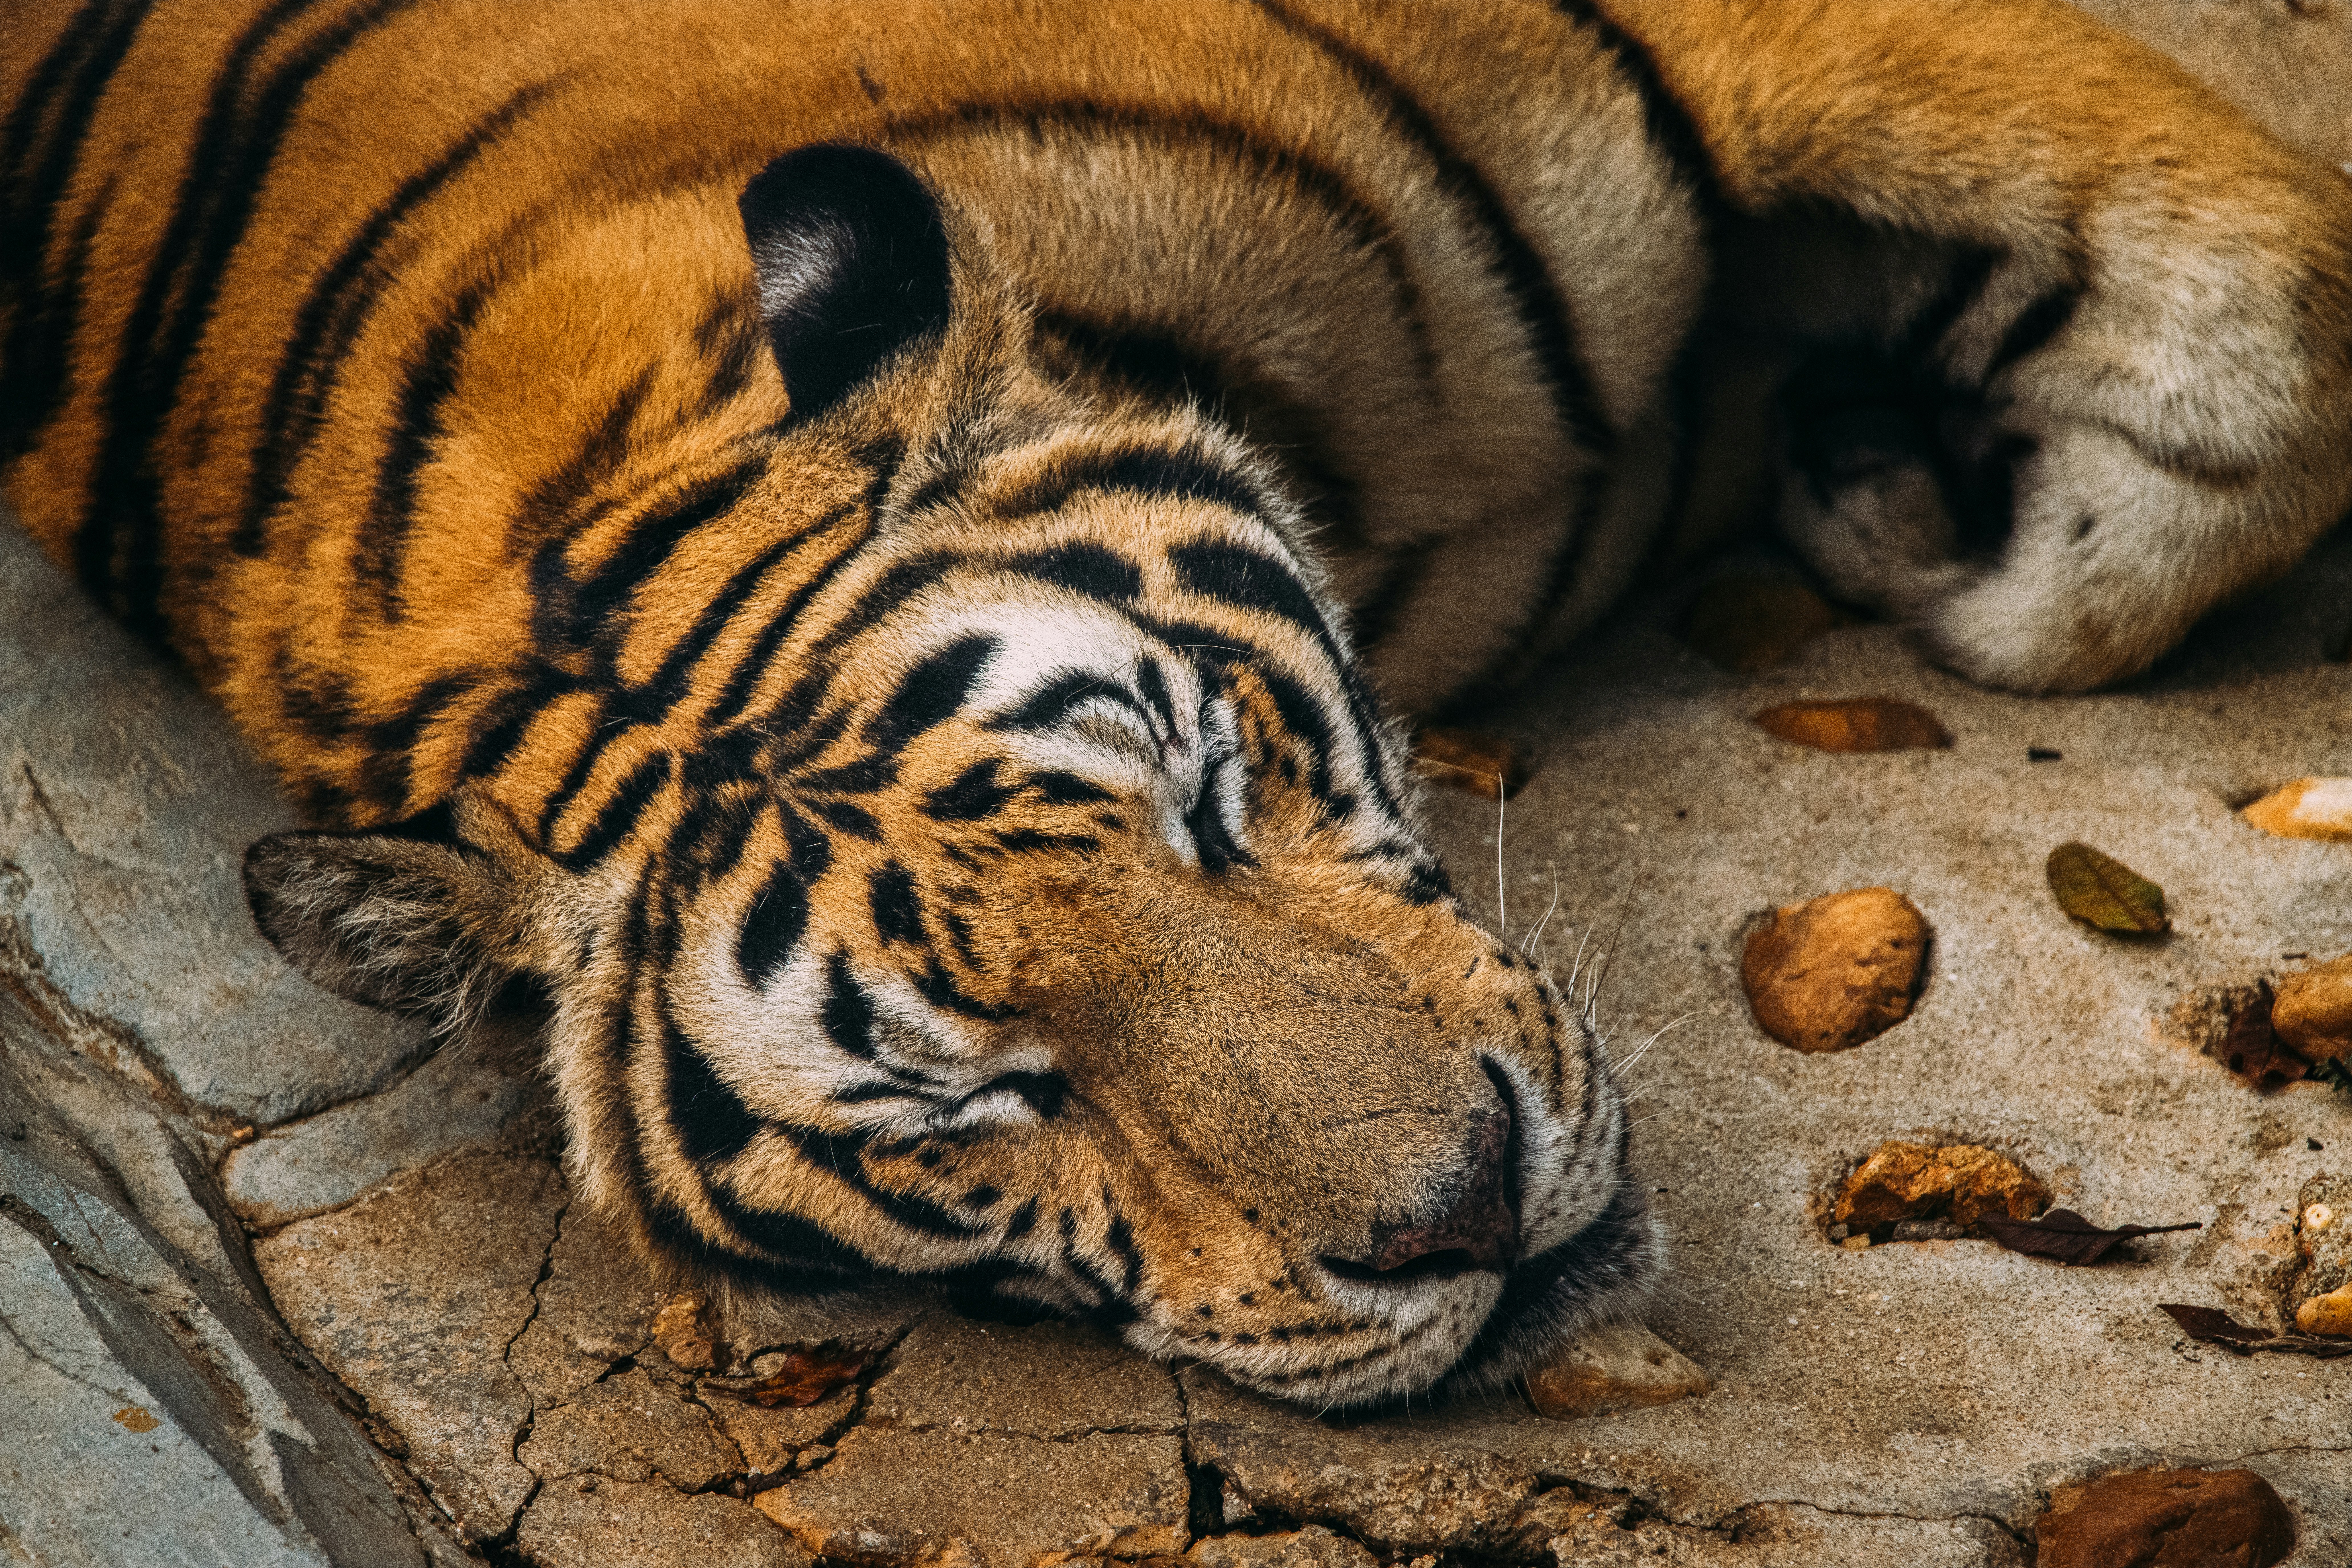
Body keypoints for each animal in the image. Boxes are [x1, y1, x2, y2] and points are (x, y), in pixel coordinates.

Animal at [4, 0, 2348, 1413]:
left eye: (1218, 793)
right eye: (977, 1099)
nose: (1464, 1211)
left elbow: (2262, 334)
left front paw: (1939, 533)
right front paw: (1883, 479)